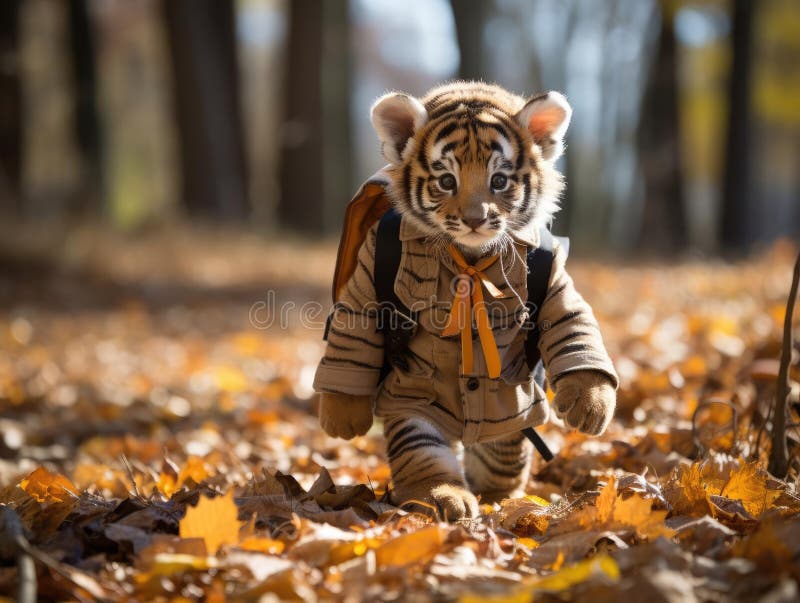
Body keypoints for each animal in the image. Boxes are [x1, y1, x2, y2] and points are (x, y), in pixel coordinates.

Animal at [313, 81, 618, 521]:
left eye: (499, 180)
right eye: (445, 180)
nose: (475, 219)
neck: (470, 256)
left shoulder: (555, 280)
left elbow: (572, 322)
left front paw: (590, 404)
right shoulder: (369, 273)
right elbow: (356, 324)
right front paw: (342, 414)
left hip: (507, 431)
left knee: (500, 459)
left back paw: (497, 496)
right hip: (412, 400)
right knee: (423, 450)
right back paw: (443, 497)